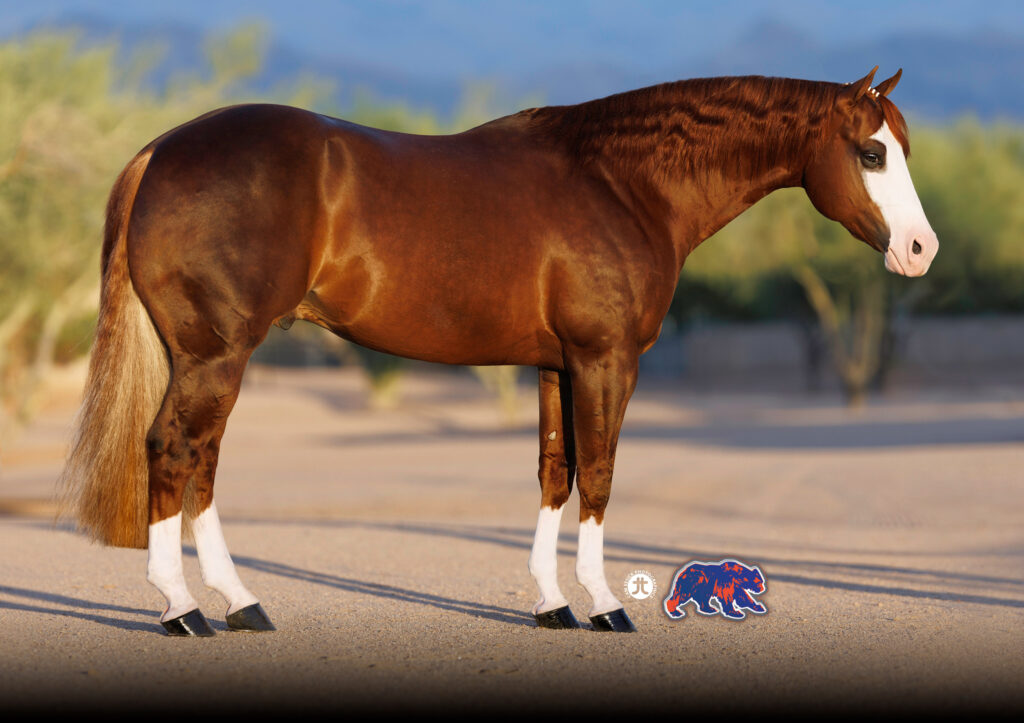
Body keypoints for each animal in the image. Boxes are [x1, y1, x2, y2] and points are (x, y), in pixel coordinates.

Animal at [58, 66, 938, 635]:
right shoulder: (606, 360)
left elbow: (555, 473)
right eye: (870, 152)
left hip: (213, 359)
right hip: (216, 355)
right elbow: (601, 475)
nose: (921, 251)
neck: (620, 184)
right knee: (175, 450)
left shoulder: (555, 364)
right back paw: (183, 610)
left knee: (201, 463)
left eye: (903, 148)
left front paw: (552, 605)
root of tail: (163, 150)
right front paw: (605, 605)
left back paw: (241, 603)